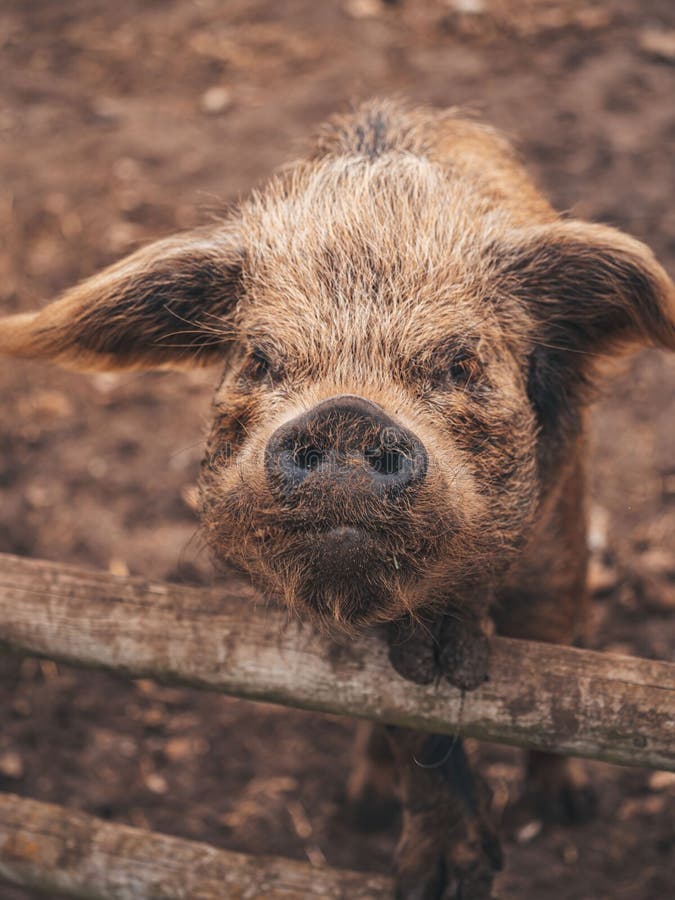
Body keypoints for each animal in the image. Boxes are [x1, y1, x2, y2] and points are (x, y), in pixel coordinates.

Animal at [1, 100, 674, 898]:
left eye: (462, 363)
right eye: (259, 359)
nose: (346, 412)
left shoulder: (552, 536)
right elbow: (405, 716)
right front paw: (436, 876)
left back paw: (565, 807)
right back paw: (362, 809)